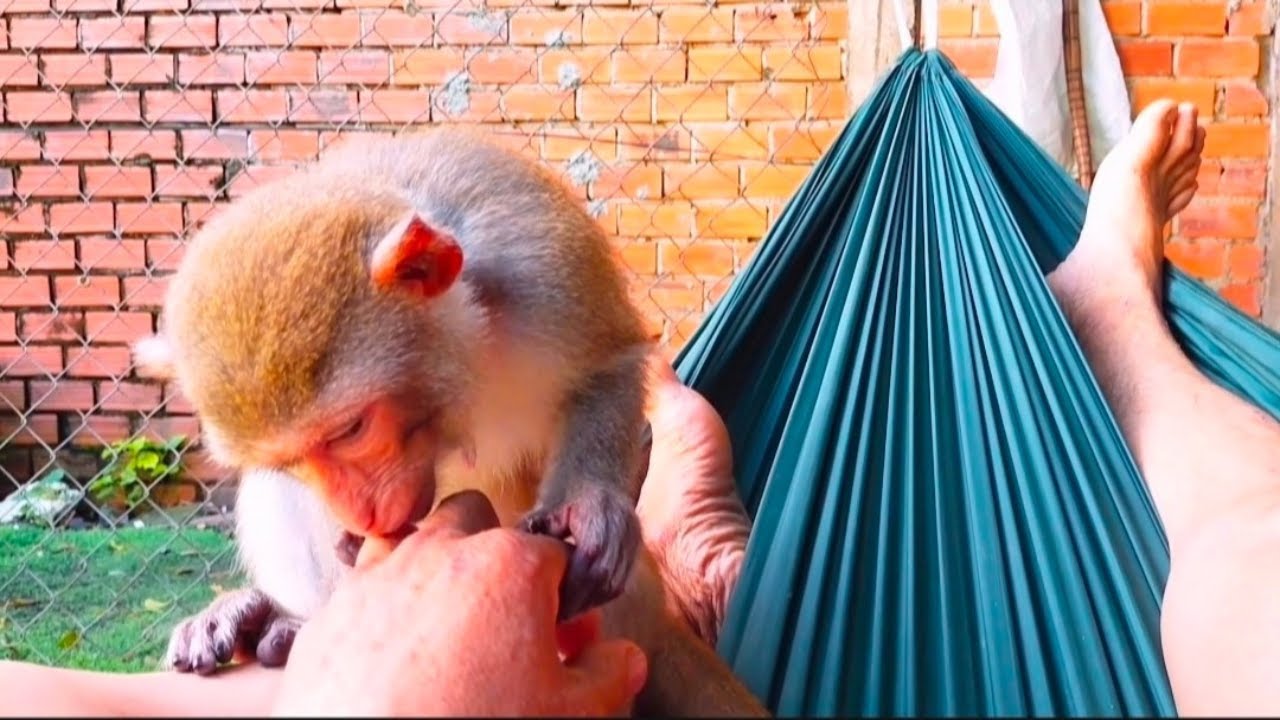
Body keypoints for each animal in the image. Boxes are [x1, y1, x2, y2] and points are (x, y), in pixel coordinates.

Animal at [134, 127, 770, 717]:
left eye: (350, 431)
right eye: (294, 459)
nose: (359, 513)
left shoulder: (542, 266)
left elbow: (607, 368)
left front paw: (587, 506)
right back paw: (283, 620)